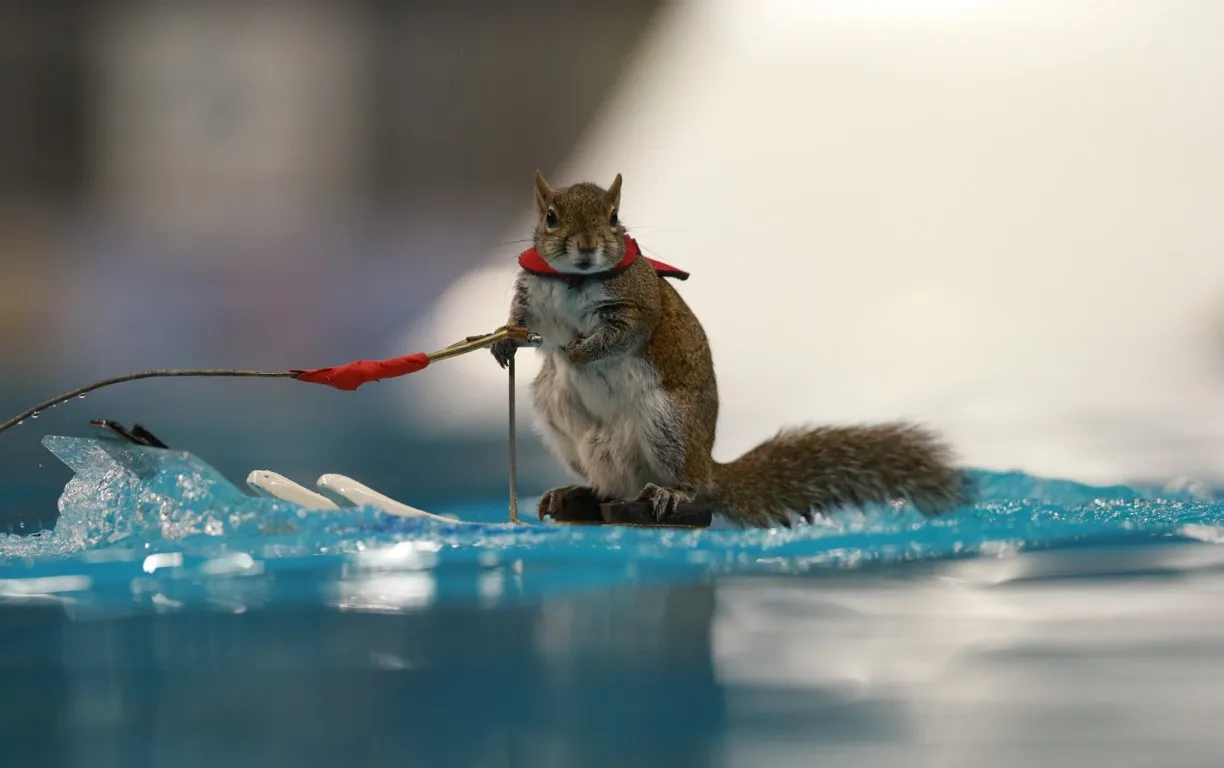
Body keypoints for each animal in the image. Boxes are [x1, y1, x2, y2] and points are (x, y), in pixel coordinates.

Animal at [489, 170, 971, 527]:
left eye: (614, 216)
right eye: (552, 217)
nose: (587, 248)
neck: (575, 279)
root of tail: (710, 466)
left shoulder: (639, 303)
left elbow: (623, 333)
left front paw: (578, 352)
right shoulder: (537, 302)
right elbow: (524, 323)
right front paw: (504, 342)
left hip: (667, 424)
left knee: (689, 487)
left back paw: (669, 493)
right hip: (559, 418)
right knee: (611, 486)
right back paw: (576, 493)